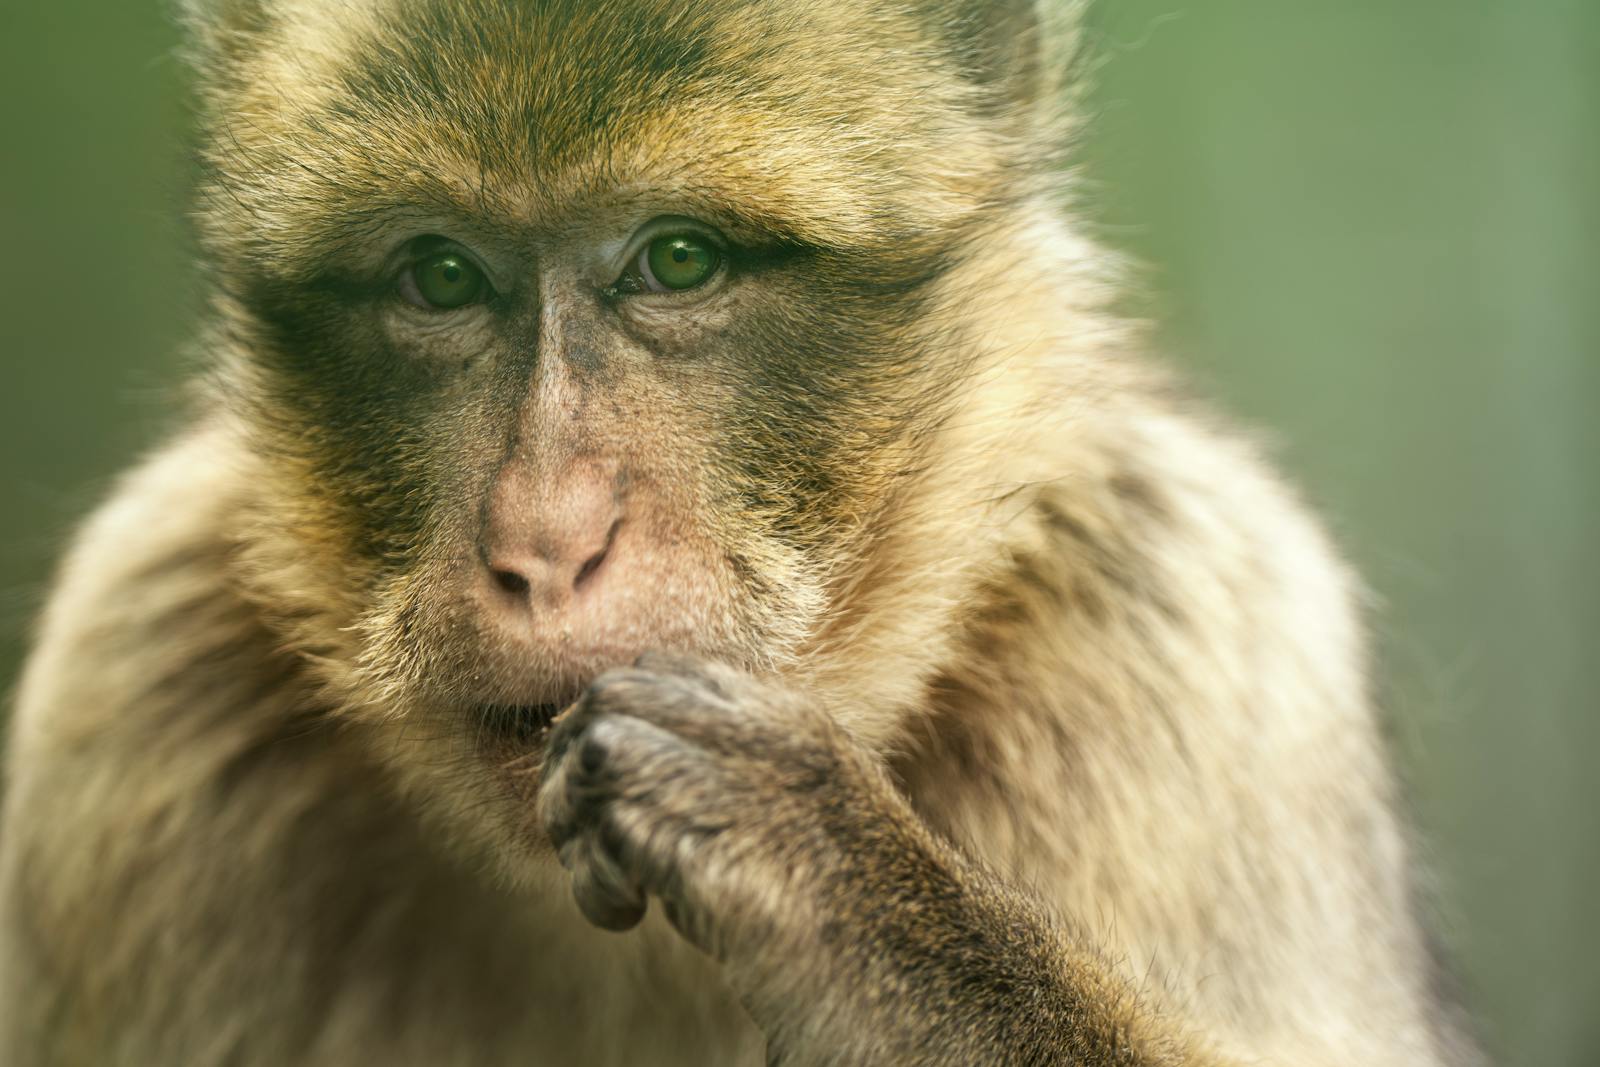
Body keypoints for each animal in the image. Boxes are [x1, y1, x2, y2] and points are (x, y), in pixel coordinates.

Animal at [0, 0, 1484, 1064]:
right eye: (439, 275)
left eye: (677, 259)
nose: (547, 540)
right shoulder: (131, 680)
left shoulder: (1186, 626)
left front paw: (846, 891)